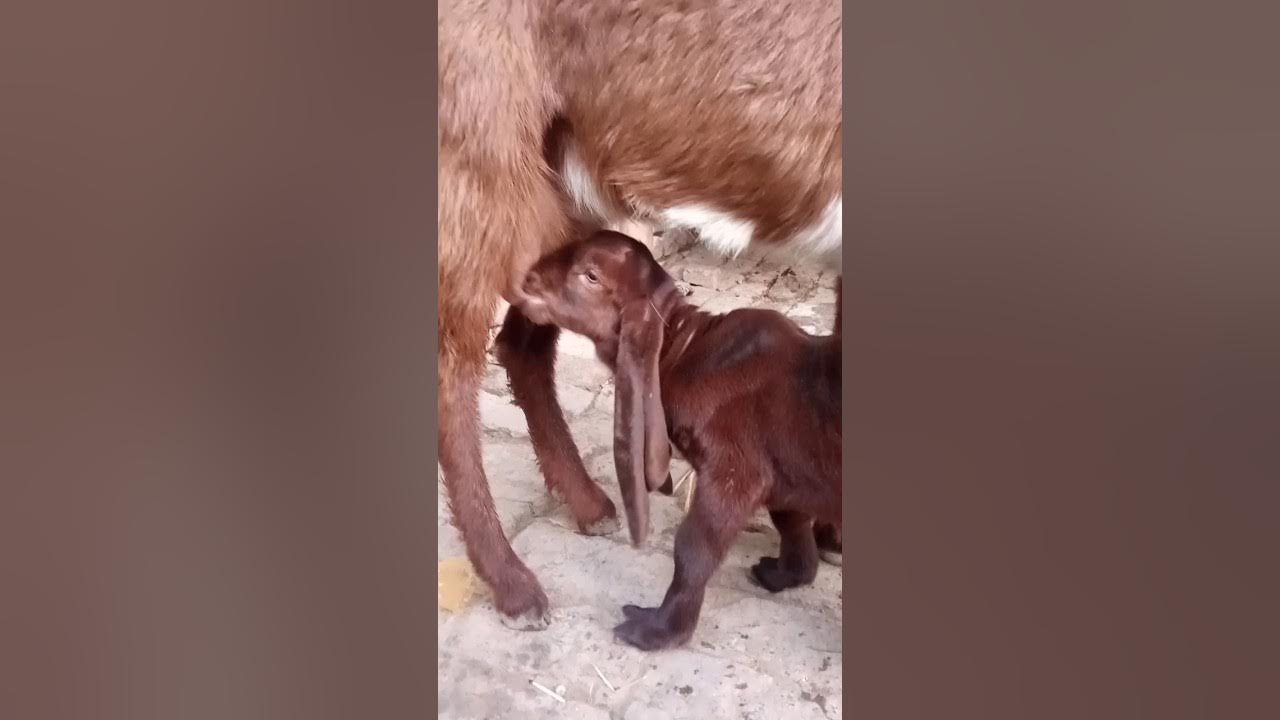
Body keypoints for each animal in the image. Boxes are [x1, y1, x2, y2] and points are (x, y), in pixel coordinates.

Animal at [517, 231, 841, 650]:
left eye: (591, 276)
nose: (527, 280)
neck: (686, 349)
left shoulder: (733, 472)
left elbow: (693, 550)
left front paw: (660, 630)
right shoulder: (785, 469)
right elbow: (791, 519)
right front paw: (789, 574)